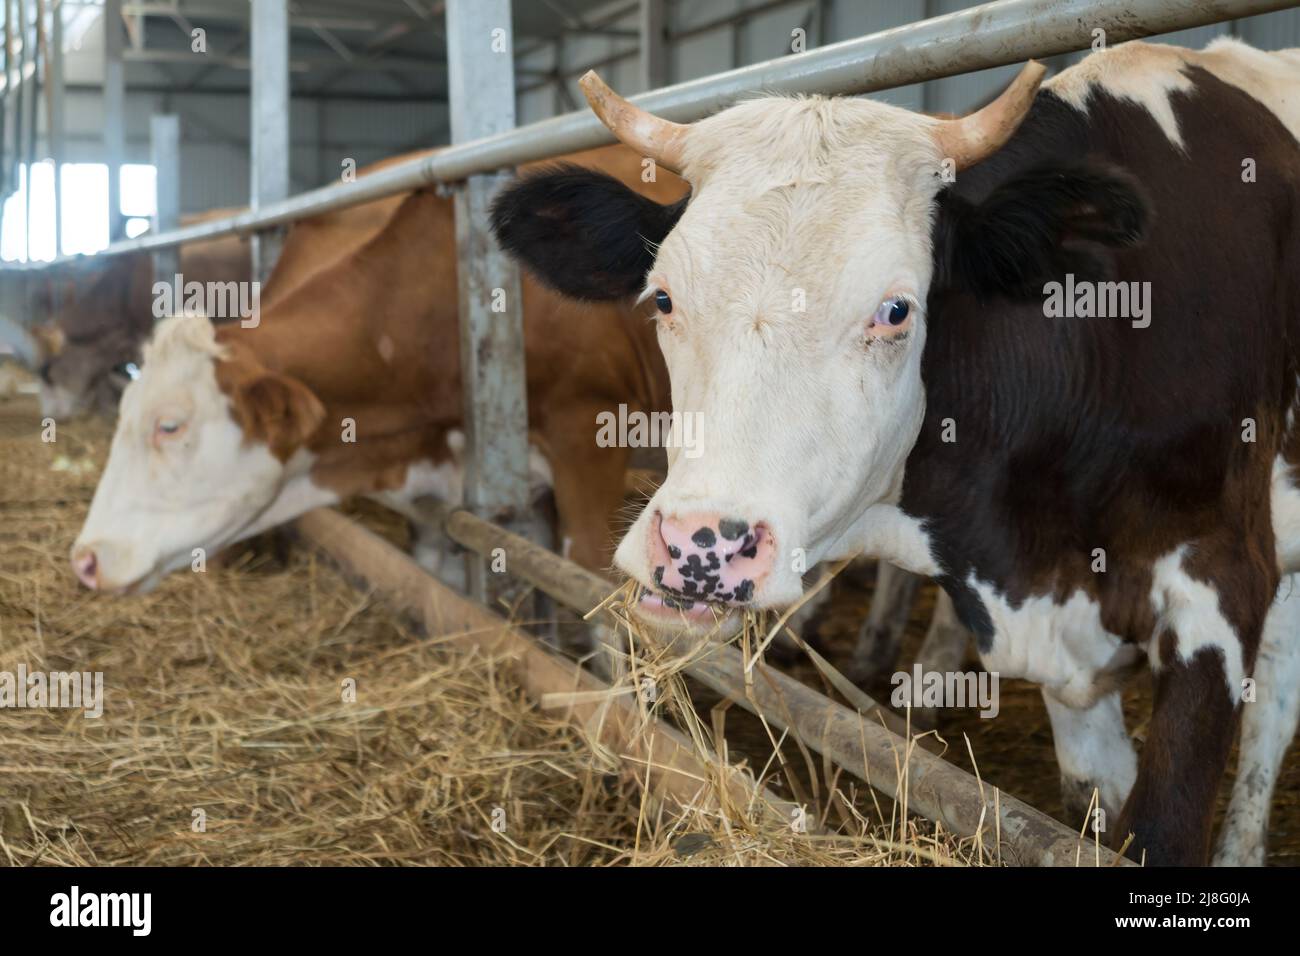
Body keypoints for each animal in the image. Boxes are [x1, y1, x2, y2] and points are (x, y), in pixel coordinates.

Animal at [488, 39, 1300, 865]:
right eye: (663, 298)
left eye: (896, 309)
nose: (698, 547)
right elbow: (1092, 805)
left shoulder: (1222, 582)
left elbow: (1161, 826)